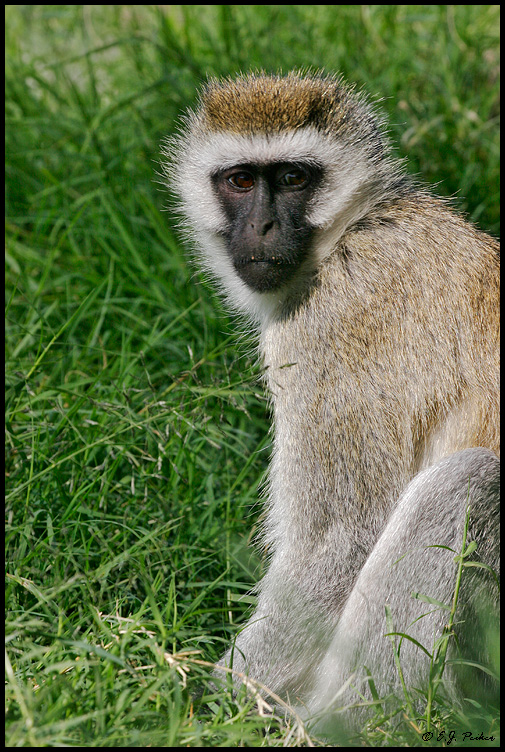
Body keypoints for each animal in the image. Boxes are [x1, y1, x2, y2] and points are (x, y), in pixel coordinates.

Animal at [162, 71, 499, 726]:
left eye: (294, 178)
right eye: (241, 181)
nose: (263, 227)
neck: (358, 227)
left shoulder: (335, 324)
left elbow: (340, 539)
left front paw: (218, 706)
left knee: (470, 481)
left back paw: (343, 722)